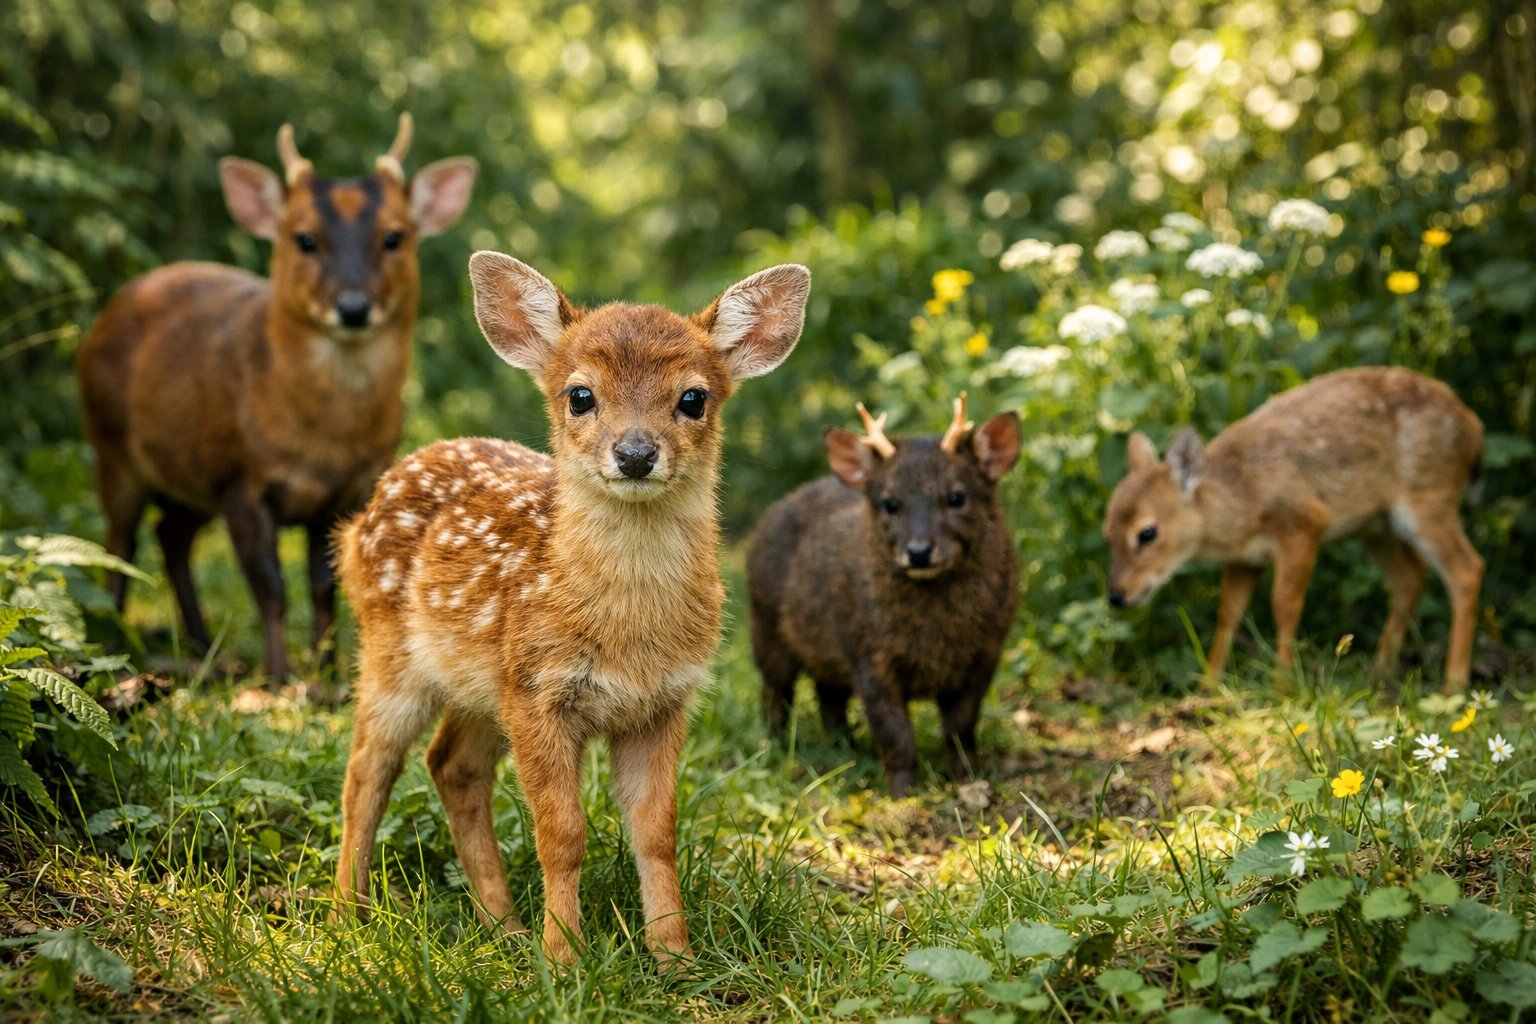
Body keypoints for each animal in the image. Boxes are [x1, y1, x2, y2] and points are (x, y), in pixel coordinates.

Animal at [77, 115, 475, 682]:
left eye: (394, 236)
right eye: (304, 237)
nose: (353, 307)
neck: (321, 439)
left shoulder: (350, 486)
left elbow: (325, 584)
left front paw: (327, 673)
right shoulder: (240, 476)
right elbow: (270, 585)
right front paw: (280, 675)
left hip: (192, 477)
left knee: (170, 534)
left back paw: (204, 648)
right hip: (109, 441)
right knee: (119, 543)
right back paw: (116, 644)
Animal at [333, 253, 810, 964]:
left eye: (693, 398)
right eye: (580, 395)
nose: (636, 453)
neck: (629, 633)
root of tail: (362, 515)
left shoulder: (662, 702)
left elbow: (657, 832)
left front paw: (675, 958)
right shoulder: (541, 692)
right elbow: (563, 835)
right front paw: (565, 960)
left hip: (483, 684)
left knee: (451, 765)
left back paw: (502, 926)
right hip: (393, 653)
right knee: (366, 768)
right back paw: (348, 916)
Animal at [747, 394, 1022, 797]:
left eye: (956, 497)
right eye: (890, 503)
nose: (919, 551)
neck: (936, 637)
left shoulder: (985, 654)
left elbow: (961, 727)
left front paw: (968, 777)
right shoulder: (868, 656)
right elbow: (895, 734)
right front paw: (901, 791)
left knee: (828, 697)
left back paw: (844, 748)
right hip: (765, 629)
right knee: (776, 695)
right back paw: (776, 748)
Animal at [1103, 366, 1484, 691]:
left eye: (1147, 532)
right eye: (1108, 532)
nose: (1117, 596)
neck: (1244, 497)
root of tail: (1474, 426)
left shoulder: (1303, 521)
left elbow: (1284, 603)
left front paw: (1281, 687)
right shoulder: (1246, 558)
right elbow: (1228, 611)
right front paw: (1207, 688)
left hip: (1429, 499)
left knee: (1467, 569)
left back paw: (1453, 684)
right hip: (1375, 525)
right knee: (1410, 574)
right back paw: (1379, 675)